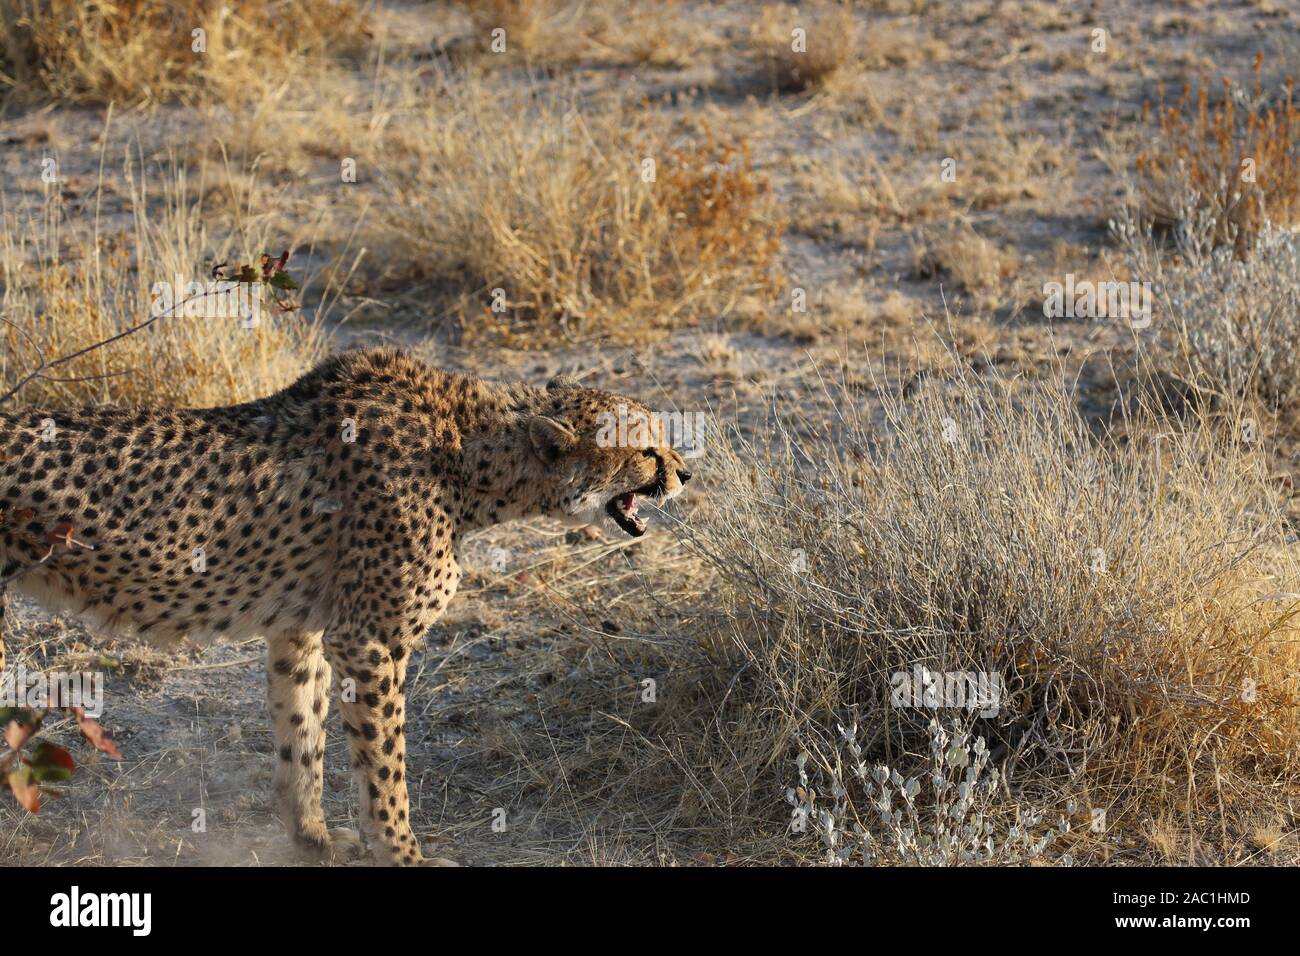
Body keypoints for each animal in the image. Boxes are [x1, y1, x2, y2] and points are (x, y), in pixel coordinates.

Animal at [0, 347, 691, 865]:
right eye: (645, 451)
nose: (684, 472)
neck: (469, 455)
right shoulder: (370, 641)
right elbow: (384, 766)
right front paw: (403, 855)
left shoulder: (302, 631)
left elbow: (302, 737)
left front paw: (313, 840)